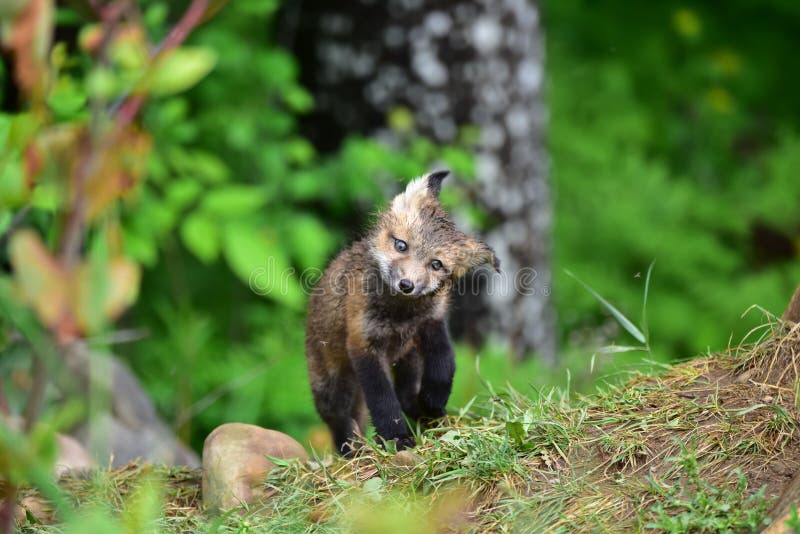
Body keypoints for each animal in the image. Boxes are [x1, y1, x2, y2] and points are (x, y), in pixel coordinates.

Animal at [305, 170, 499, 455]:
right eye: (401, 245)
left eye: (436, 264)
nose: (406, 285)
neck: (400, 317)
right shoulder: (363, 344)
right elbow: (383, 400)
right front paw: (396, 438)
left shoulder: (432, 321)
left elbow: (445, 361)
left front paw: (435, 397)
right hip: (332, 385)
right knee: (339, 419)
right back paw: (351, 451)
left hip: (409, 362)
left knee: (406, 398)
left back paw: (429, 414)